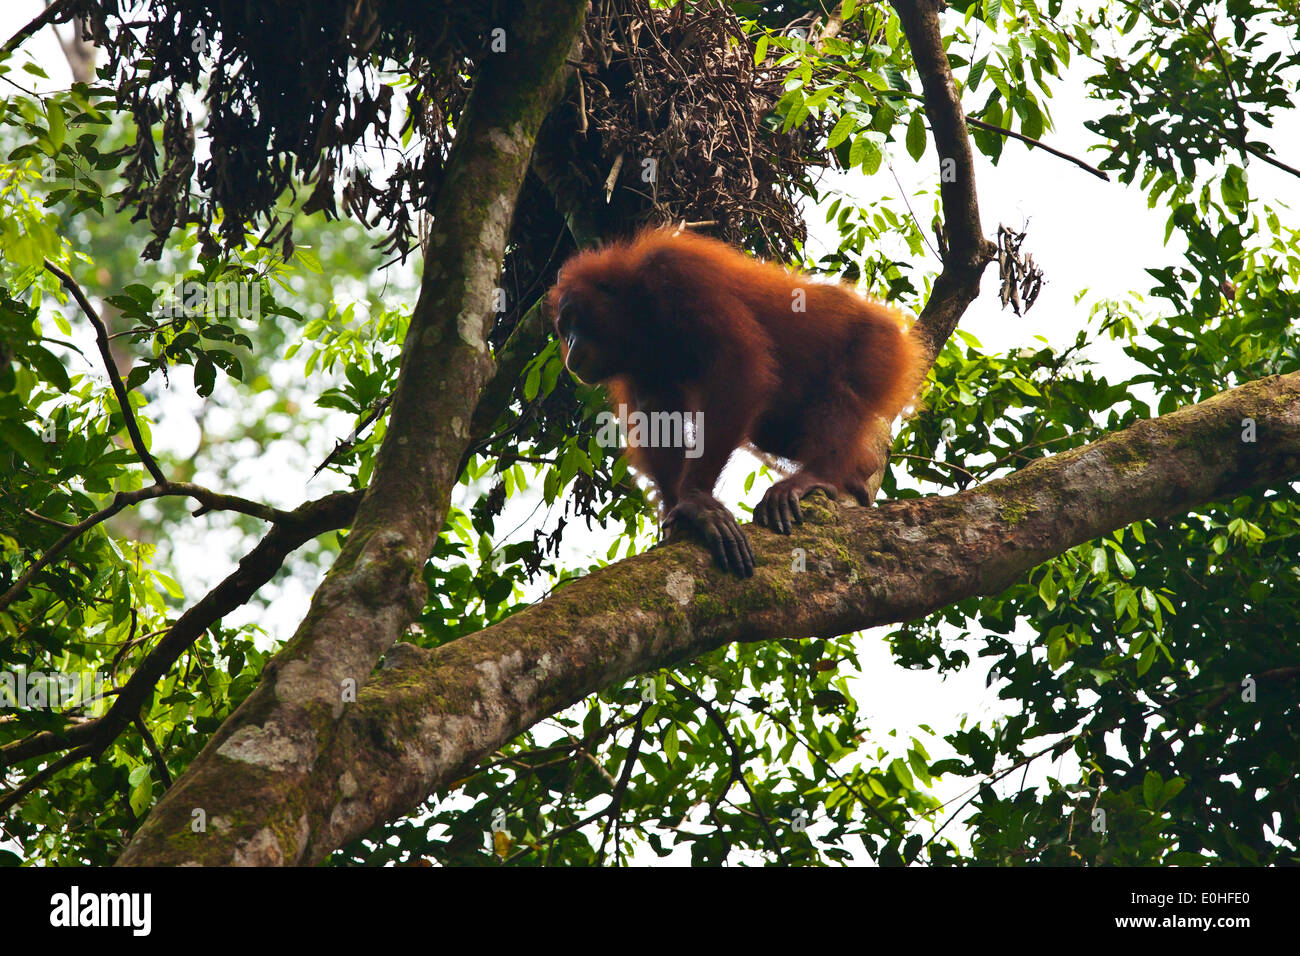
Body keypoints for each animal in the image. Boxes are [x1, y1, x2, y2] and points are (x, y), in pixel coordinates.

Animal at [547, 228, 927, 577]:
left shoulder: (679, 274)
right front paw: (677, 512)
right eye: (565, 329)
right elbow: (658, 416)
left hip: (877, 347)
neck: (639, 309)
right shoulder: (642, 367)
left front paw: (695, 499)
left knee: (843, 391)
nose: (571, 347)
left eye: (575, 322)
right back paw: (857, 470)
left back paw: (817, 475)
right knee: (774, 432)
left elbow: (739, 365)